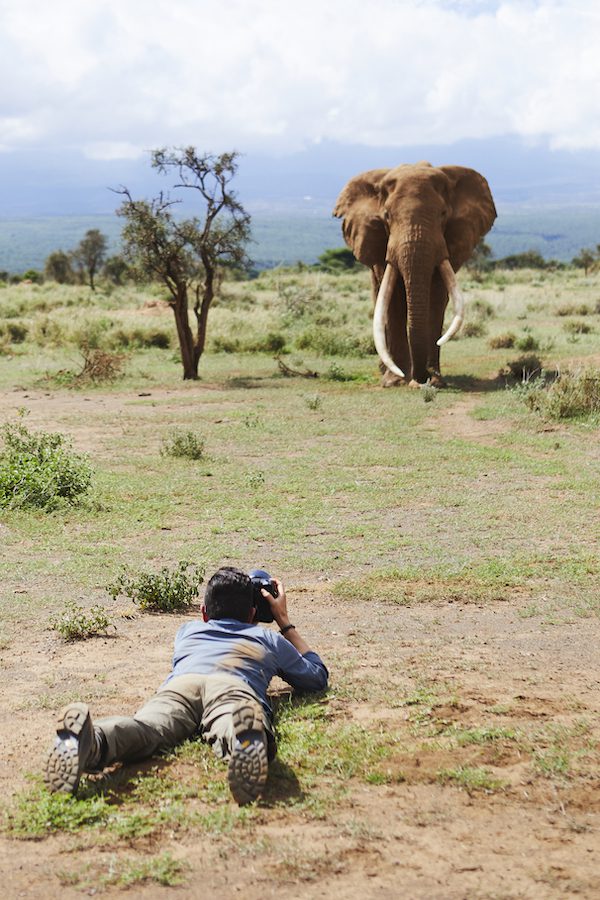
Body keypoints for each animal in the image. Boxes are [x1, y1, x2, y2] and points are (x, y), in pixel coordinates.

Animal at [333, 162, 496, 387]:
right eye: (387, 216)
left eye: (443, 214)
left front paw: (435, 380)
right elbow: (393, 299)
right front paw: (395, 381)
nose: (422, 378)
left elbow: (436, 298)